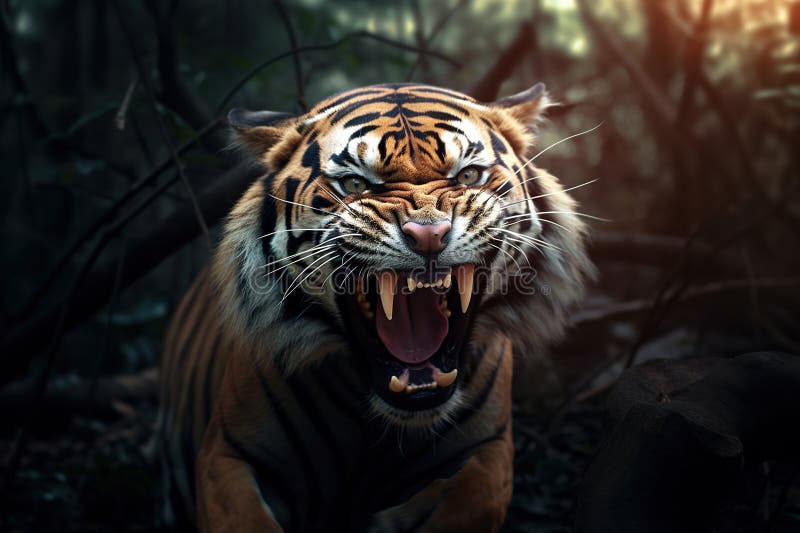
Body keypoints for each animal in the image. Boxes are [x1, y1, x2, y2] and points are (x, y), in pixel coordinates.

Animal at [157, 82, 593, 532]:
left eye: (468, 175)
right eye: (353, 184)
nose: (429, 235)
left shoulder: (490, 450)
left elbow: (473, 496)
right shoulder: (228, 454)